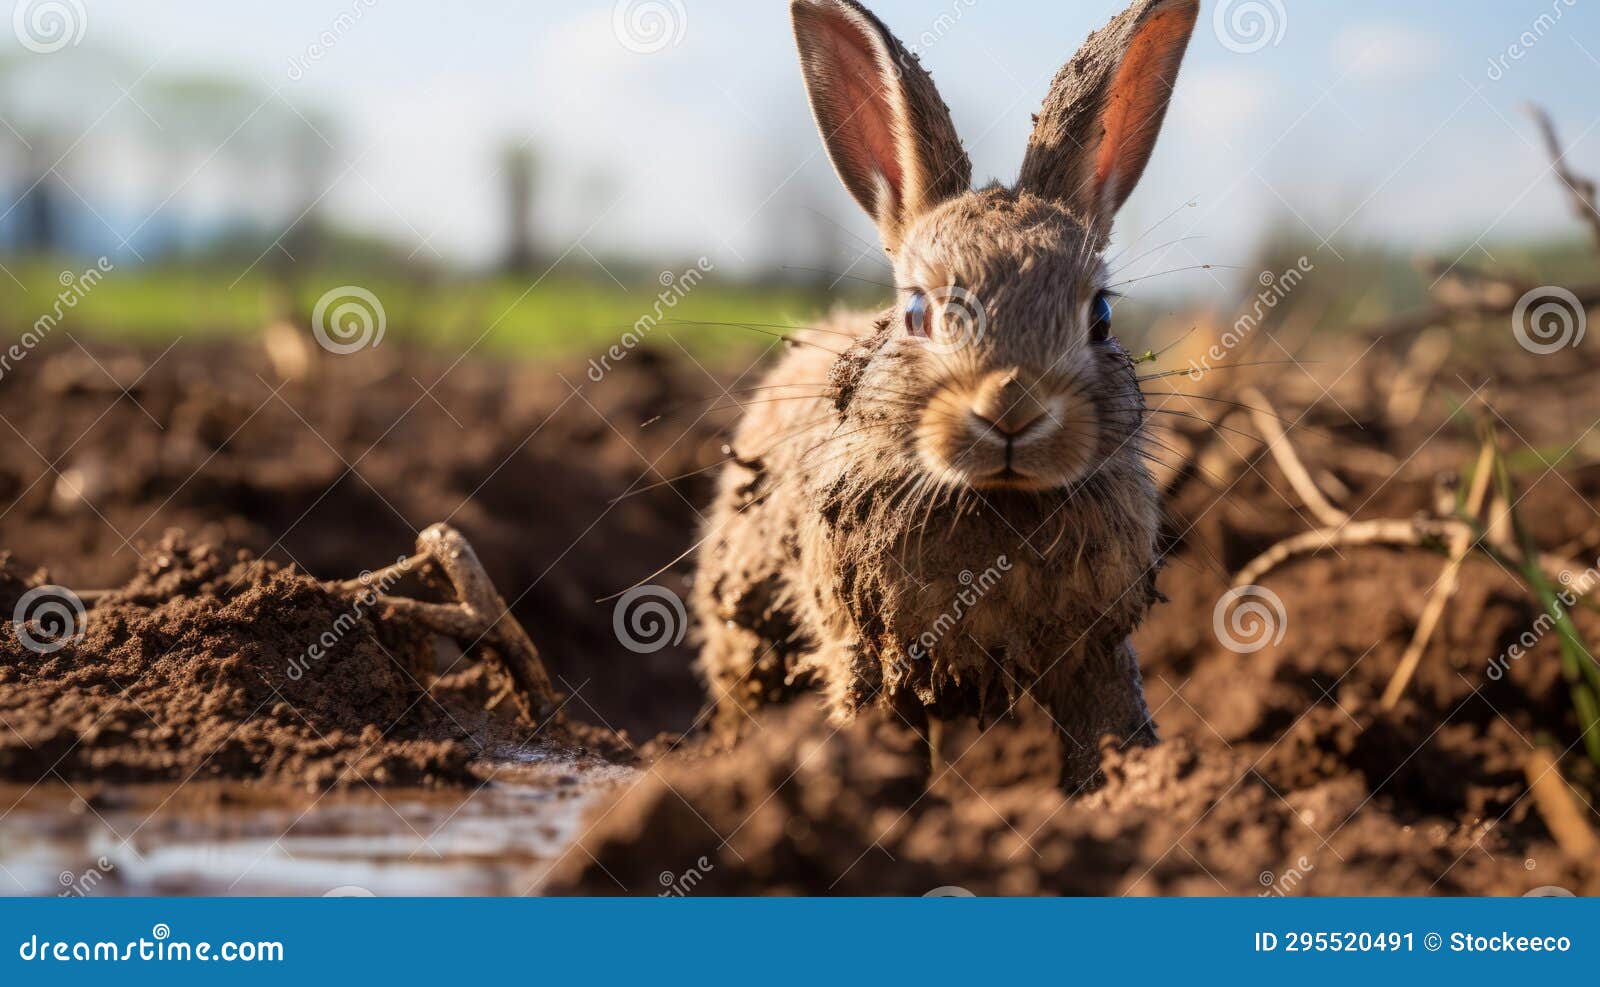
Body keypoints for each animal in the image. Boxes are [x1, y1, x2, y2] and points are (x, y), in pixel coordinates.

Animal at [691, 0, 1198, 789]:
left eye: (1102, 317)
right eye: (917, 313)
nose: (1013, 408)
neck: (997, 500)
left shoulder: (1096, 652)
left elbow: (1109, 728)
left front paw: (1138, 789)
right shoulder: (868, 654)